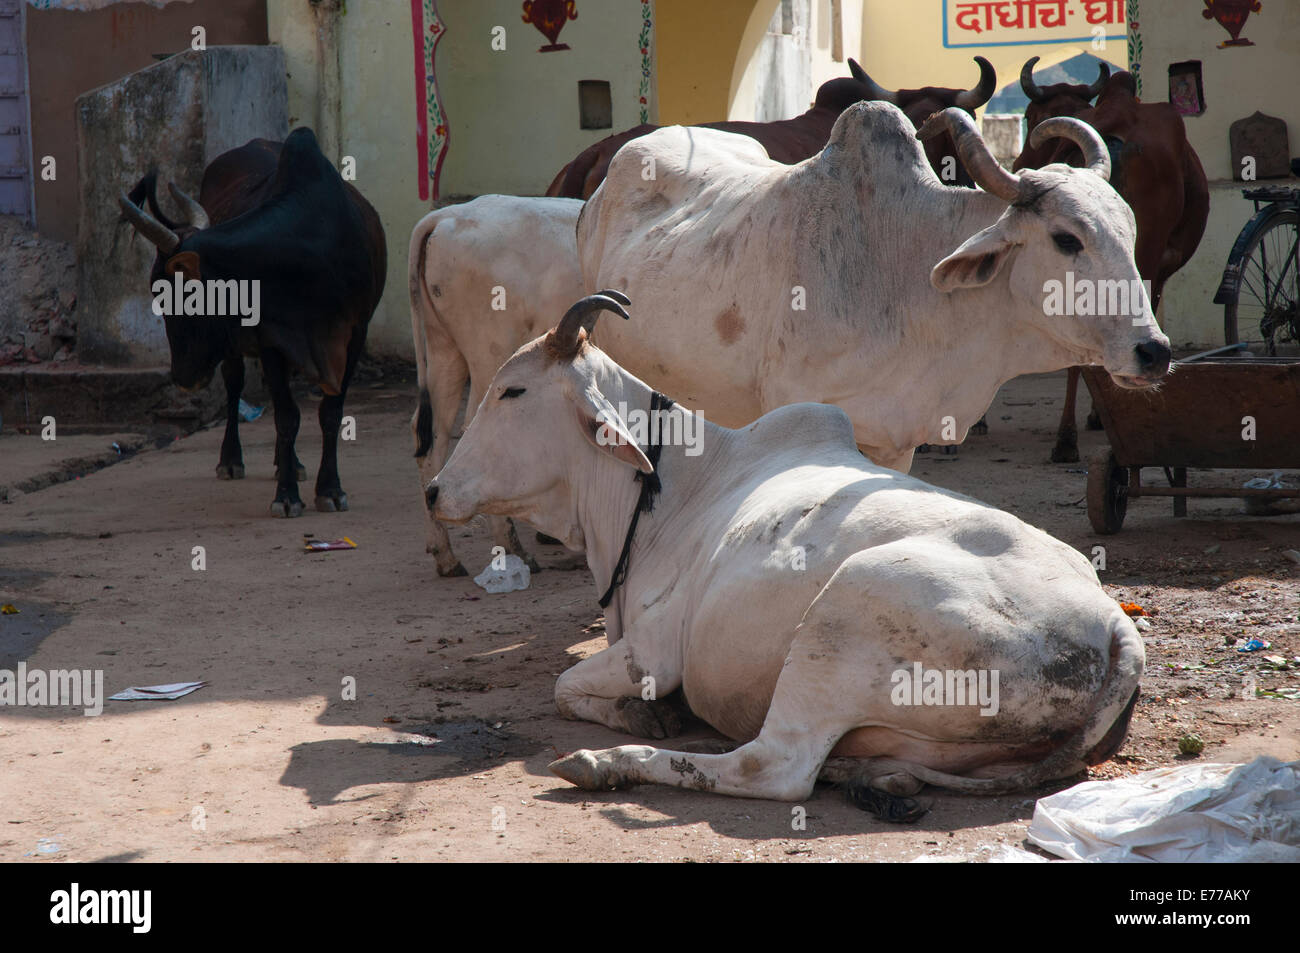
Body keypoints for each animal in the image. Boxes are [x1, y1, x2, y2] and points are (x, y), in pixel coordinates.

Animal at [118, 127, 387, 517]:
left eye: (165, 292)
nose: (181, 377)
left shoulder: (355, 333)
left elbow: (330, 412)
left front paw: (329, 489)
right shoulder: (271, 339)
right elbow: (287, 416)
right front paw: (287, 495)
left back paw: (290, 463)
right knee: (236, 387)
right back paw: (232, 460)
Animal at [409, 195, 585, 576]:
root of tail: (446, 215)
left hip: (444, 348)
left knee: (432, 438)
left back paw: (445, 554)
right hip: (489, 352)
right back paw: (511, 547)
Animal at [425, 293, 1145, 806]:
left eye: (513, 389)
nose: (433, 491)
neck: (669, 489)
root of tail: (1114, 624)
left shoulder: (654, 651)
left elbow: (563, 685)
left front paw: (637, 719)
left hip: (846, 612)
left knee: (773, 768)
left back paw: (606, 766)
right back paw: (876, 777)